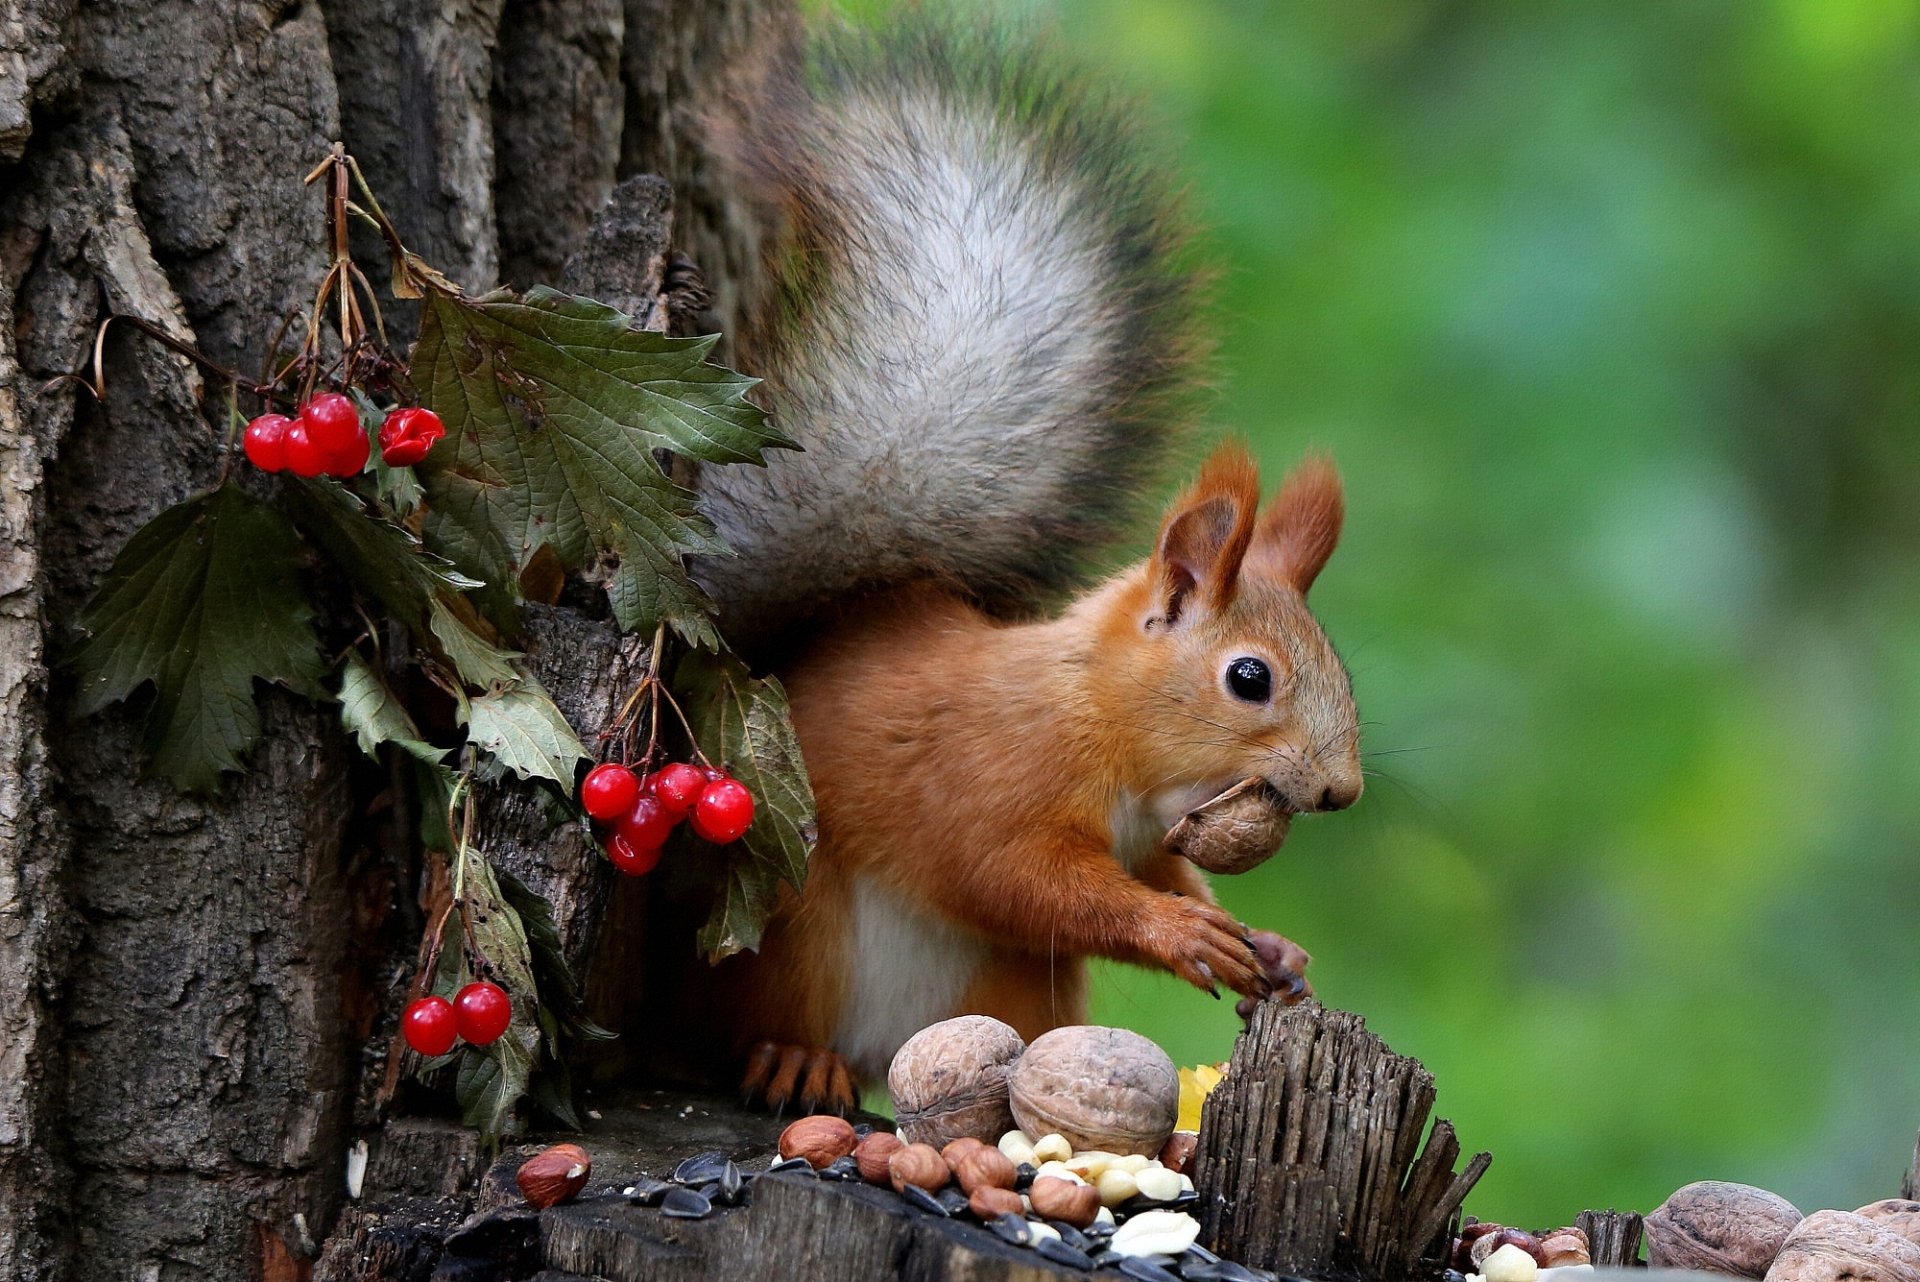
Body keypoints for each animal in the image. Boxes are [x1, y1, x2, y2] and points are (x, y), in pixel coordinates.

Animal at [674, 14, 1363, 1115]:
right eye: (1249, 677)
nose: (1343, 789)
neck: (1112, 729)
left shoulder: (1148, 838)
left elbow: (1157, 877)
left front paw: (1273, 948)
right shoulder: (994, 773)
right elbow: (1012, 877)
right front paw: (1180, 931)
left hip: (1012, 986)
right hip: (796, 921)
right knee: (769, 1018)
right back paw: (793, 1059)